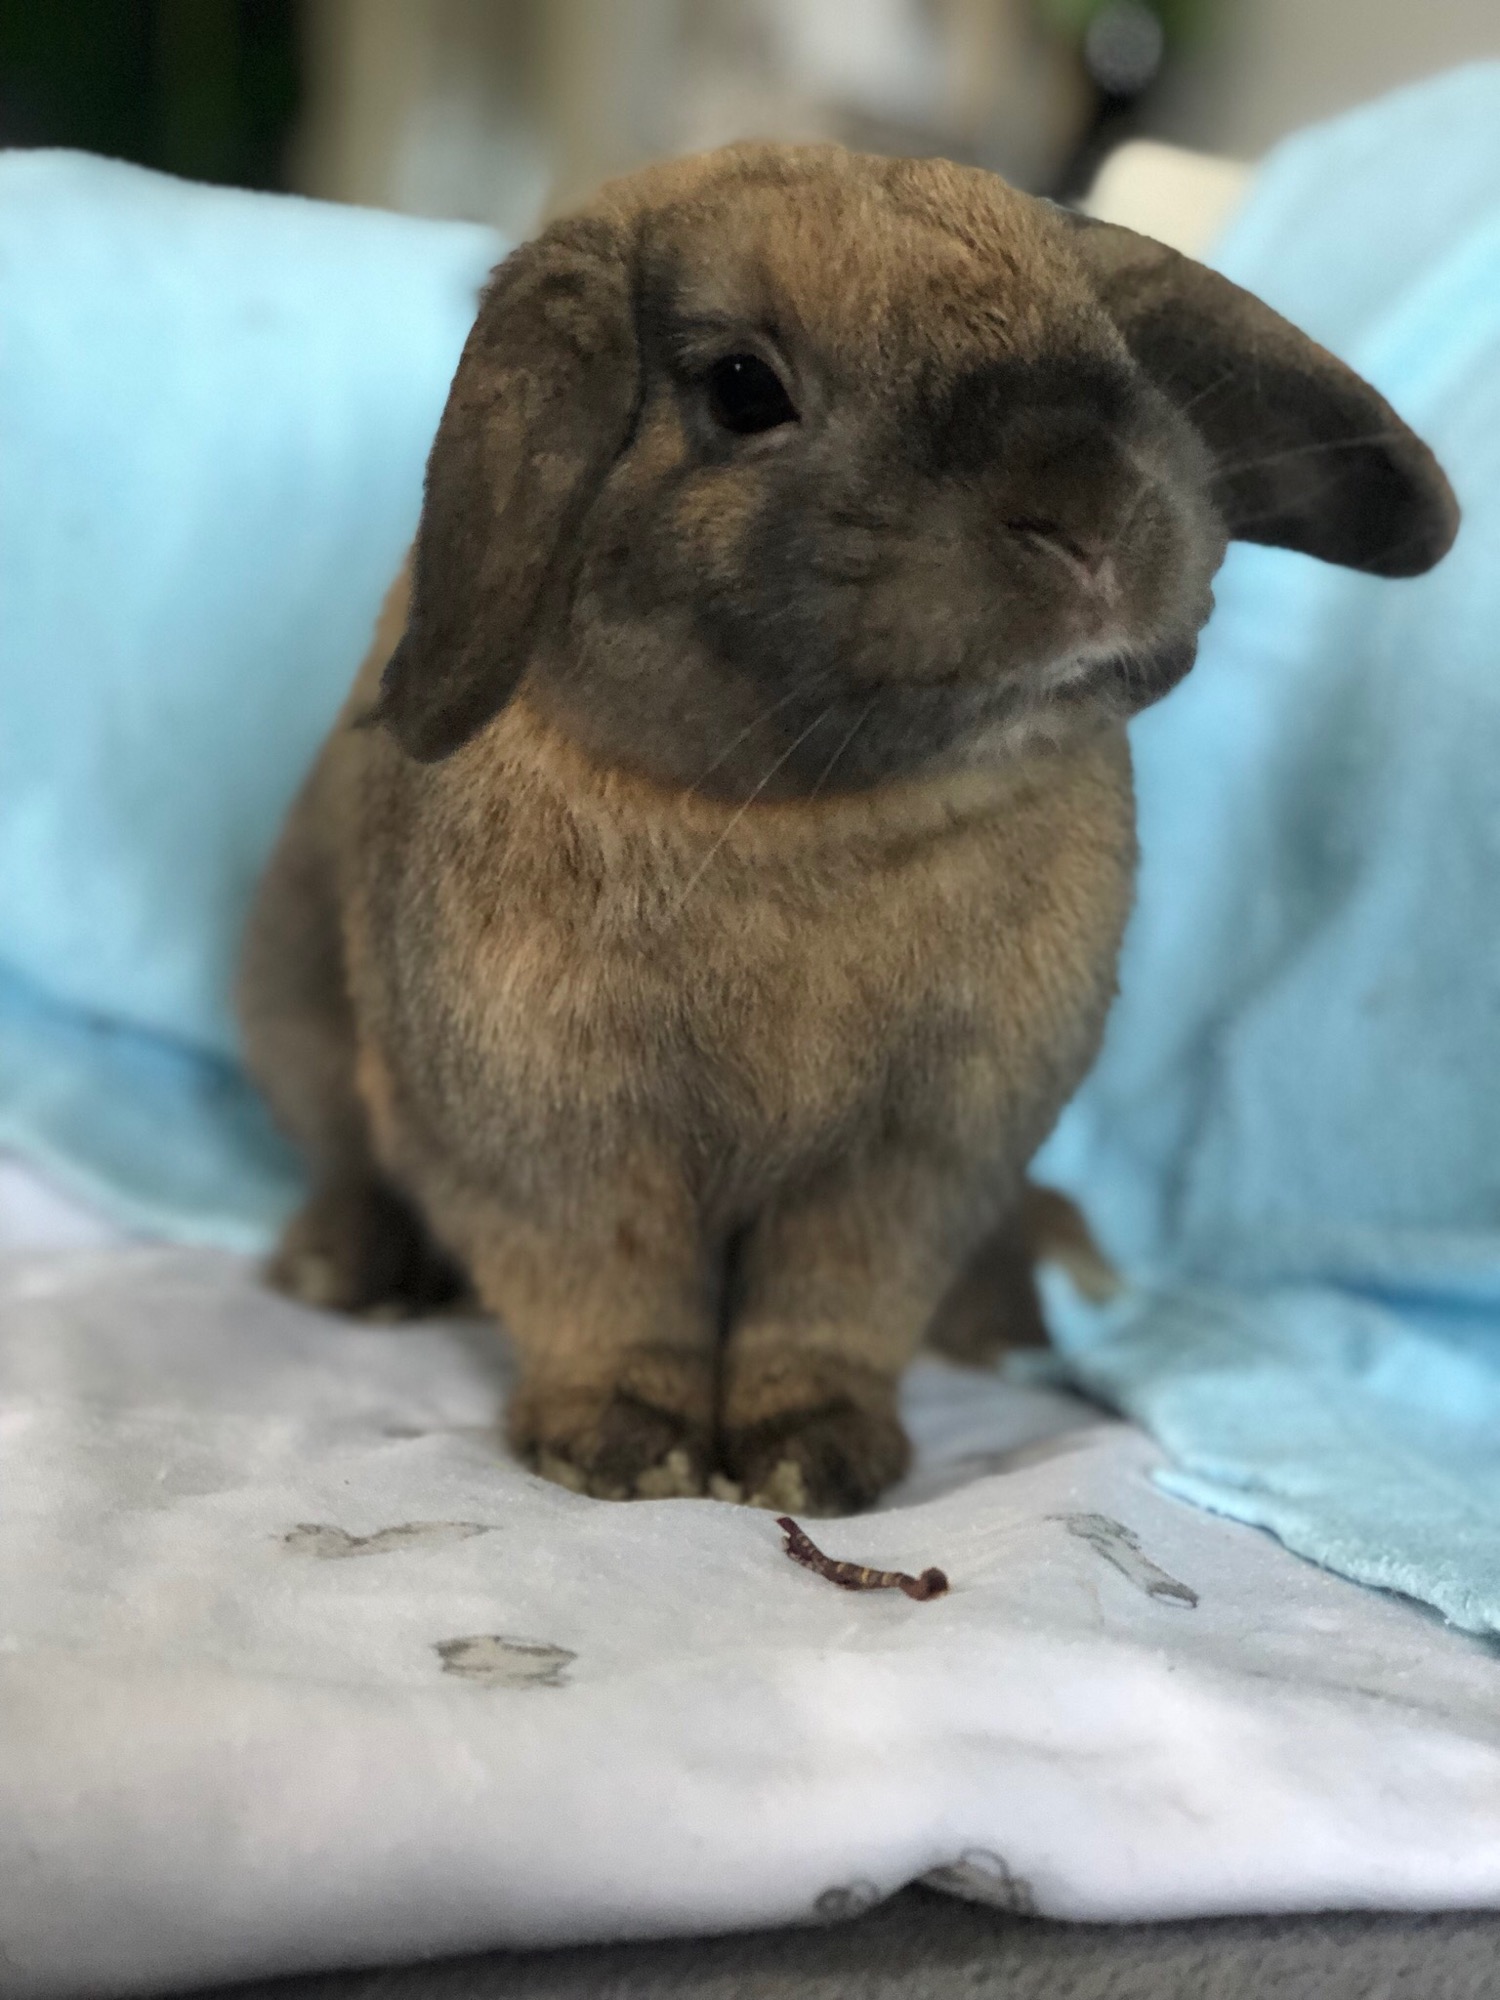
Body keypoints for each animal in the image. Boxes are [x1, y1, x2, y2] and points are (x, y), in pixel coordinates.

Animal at [239, 142, 1457, 1515]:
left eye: (1119, 357)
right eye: (743, 388)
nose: (1086, 517)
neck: (809, 821)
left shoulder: (919, 1155)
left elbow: (831, 1306)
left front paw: (810, 1465)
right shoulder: (545, 1128)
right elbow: (607, 1287)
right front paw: (625, 1451)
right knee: (345, 1157)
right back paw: (345, 1270)